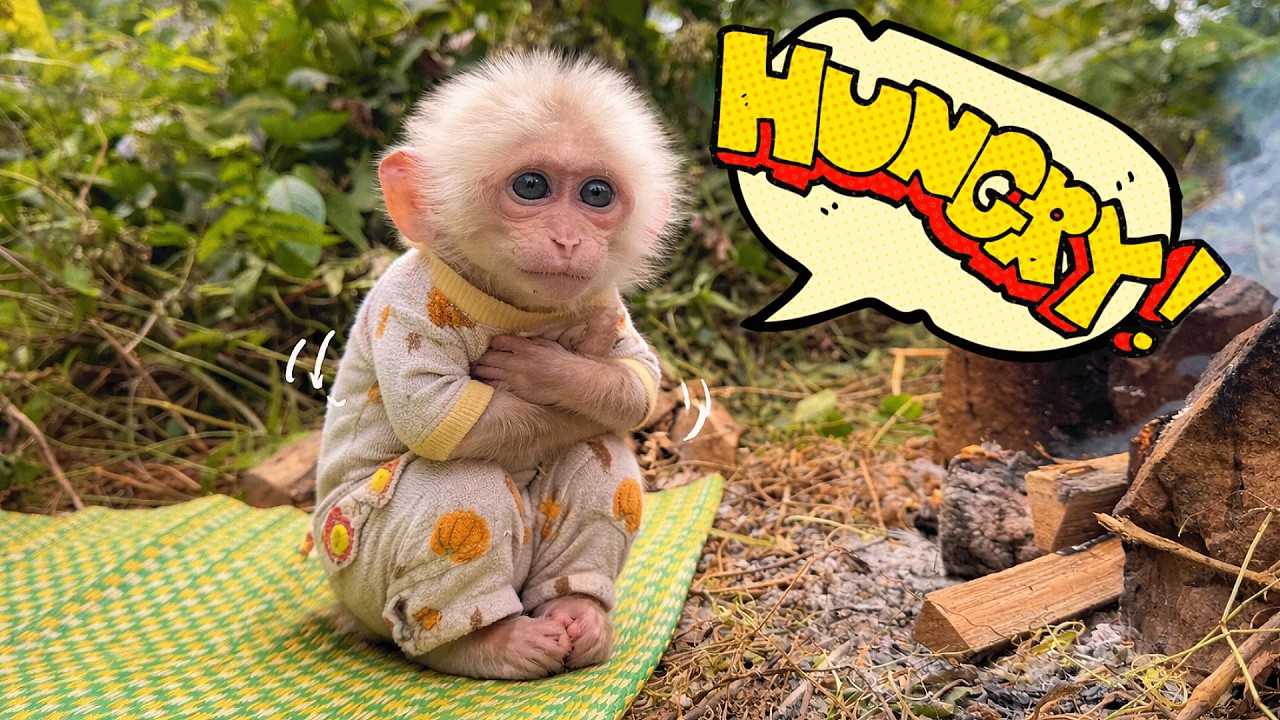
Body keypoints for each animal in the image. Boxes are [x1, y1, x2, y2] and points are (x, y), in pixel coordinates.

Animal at [311, 51, 684, 680]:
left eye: (597, 194)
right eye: (531, 185)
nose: (568, 239)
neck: (509, 306)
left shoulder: (601, 297)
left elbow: (638, 383)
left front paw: (551, 371)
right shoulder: (405, 300)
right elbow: (435, 418)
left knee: (595, 450)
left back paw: (576, 610)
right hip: (352, 560)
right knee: (458, 483)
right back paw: (487, 642)